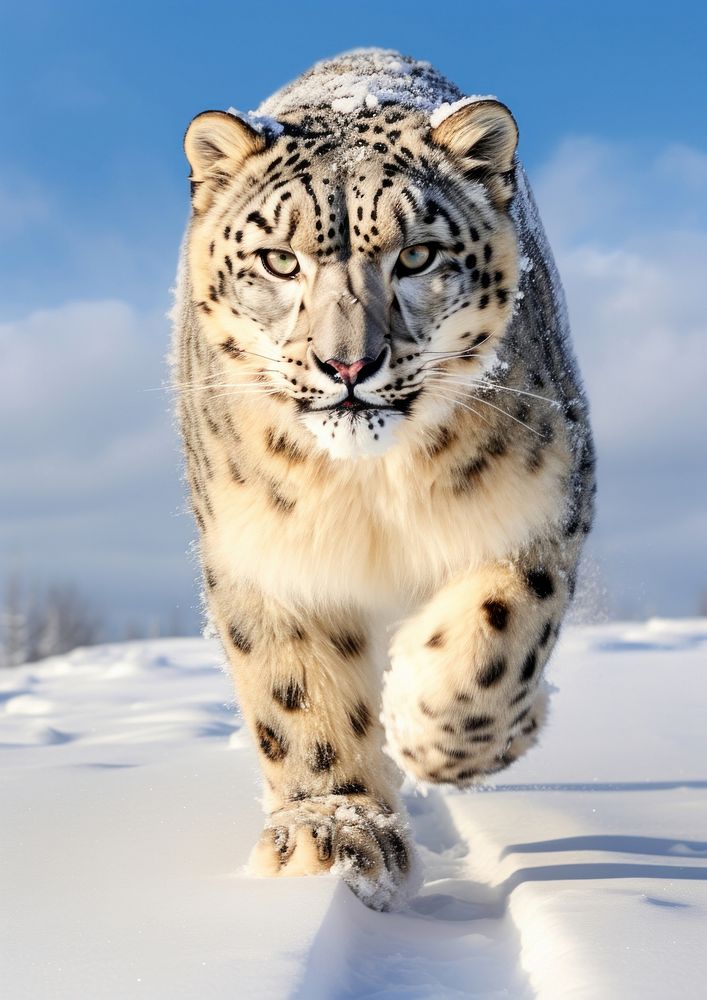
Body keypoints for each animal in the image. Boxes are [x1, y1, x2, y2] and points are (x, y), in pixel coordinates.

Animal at [171, 49, 595, 911]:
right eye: (278, 259)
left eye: (417, 255)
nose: (347, 365)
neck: (370, 491)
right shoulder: (268, 551)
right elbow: (296, 693)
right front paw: (332, 835)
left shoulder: (542, 503)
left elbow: (502, 628)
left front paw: (429, 735)